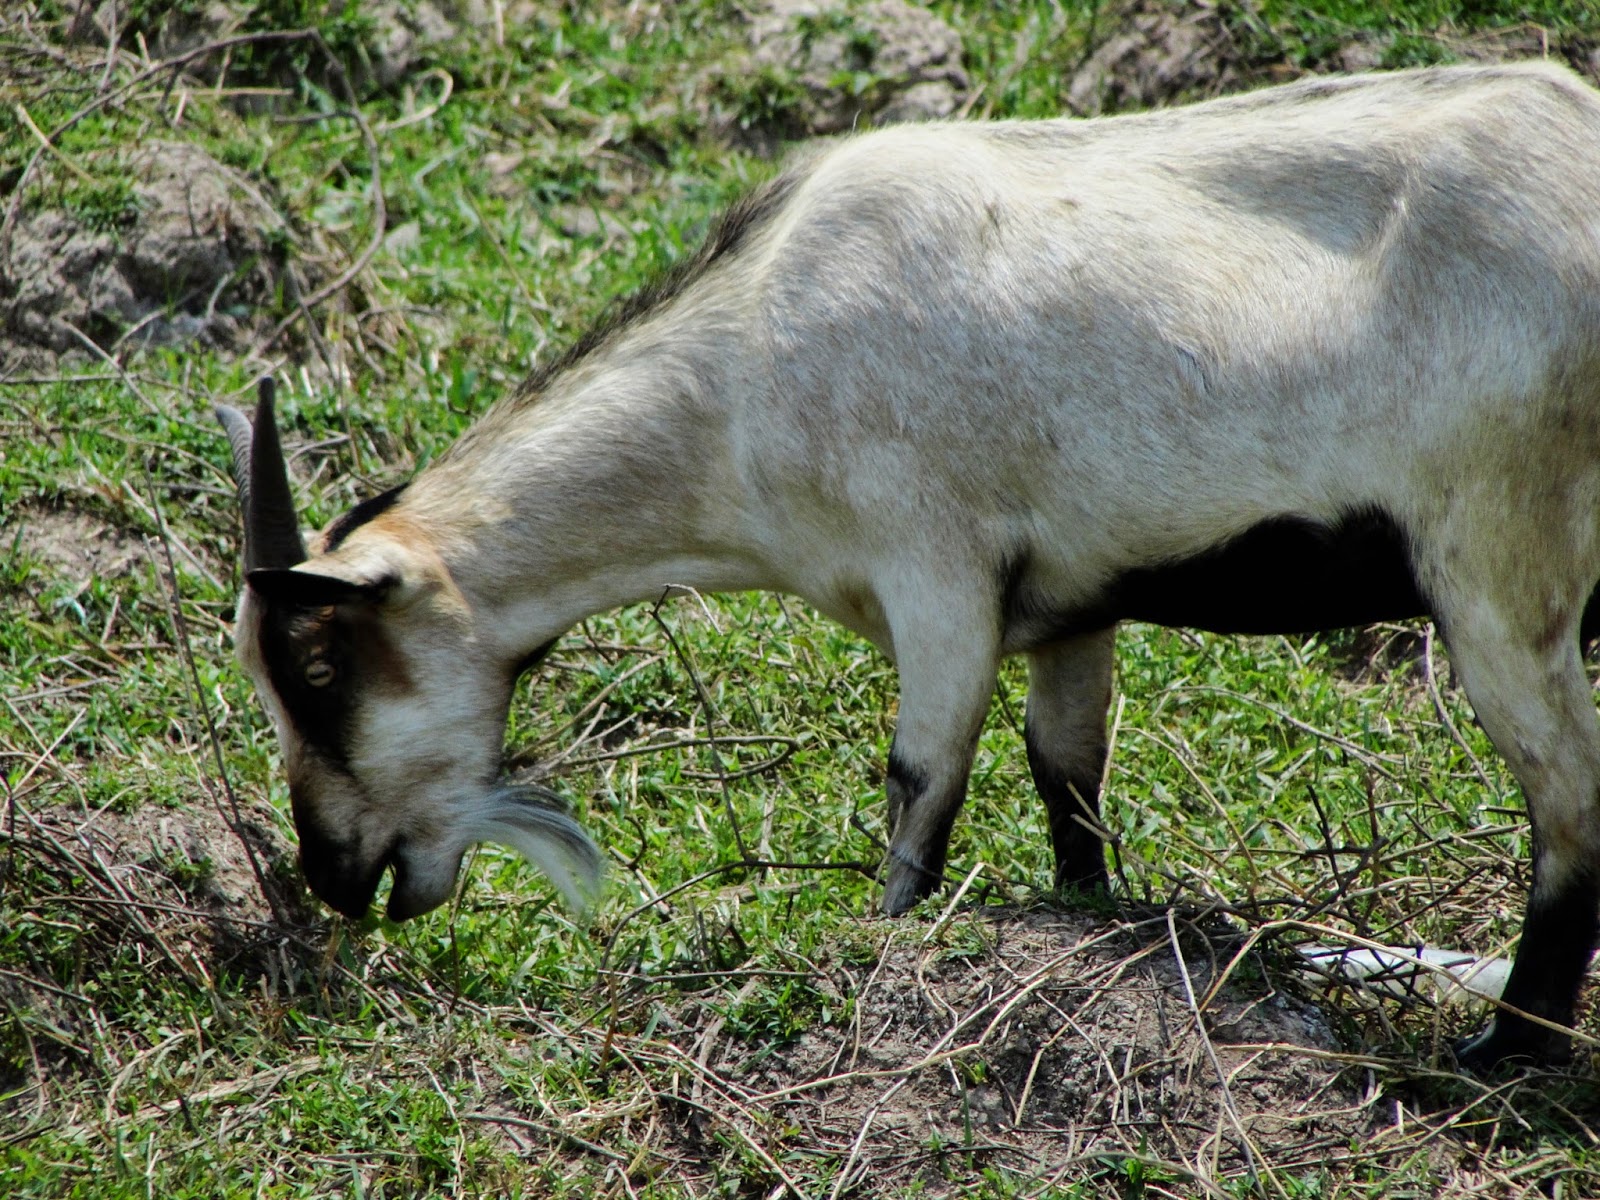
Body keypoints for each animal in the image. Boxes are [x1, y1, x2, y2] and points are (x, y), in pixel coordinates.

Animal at [221, 61, 1600, 1069]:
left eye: (319, 664)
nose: (332, 874)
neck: (741, 368)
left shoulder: (935, 571)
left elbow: (918, 788)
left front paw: (880, 958)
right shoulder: (1070, 603)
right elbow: (1066, 773)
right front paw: (1080, 927)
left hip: (1498, 564)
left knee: (1570, 807)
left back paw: (1502, 1056)